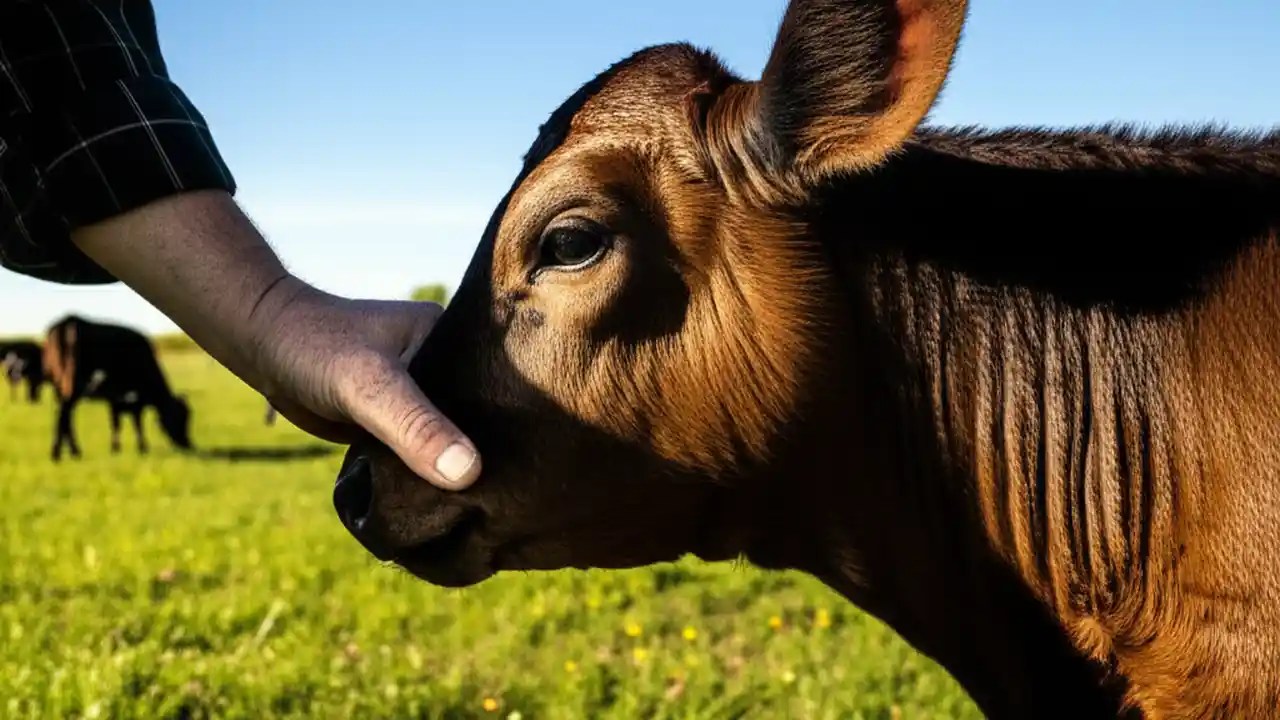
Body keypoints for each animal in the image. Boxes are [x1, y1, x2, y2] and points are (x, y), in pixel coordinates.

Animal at [43, 315, 193, 460]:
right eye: (180, 417)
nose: (187, 444)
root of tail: (68, 320)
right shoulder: (135, 399)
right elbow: (137, 423)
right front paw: (142, 448)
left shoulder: (115, 398)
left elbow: (116, 423)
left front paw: (116, 449)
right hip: (72, 385)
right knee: (63, 415)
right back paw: (61, 453)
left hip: (60, 387)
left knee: (65, 416)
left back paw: (71, 451)